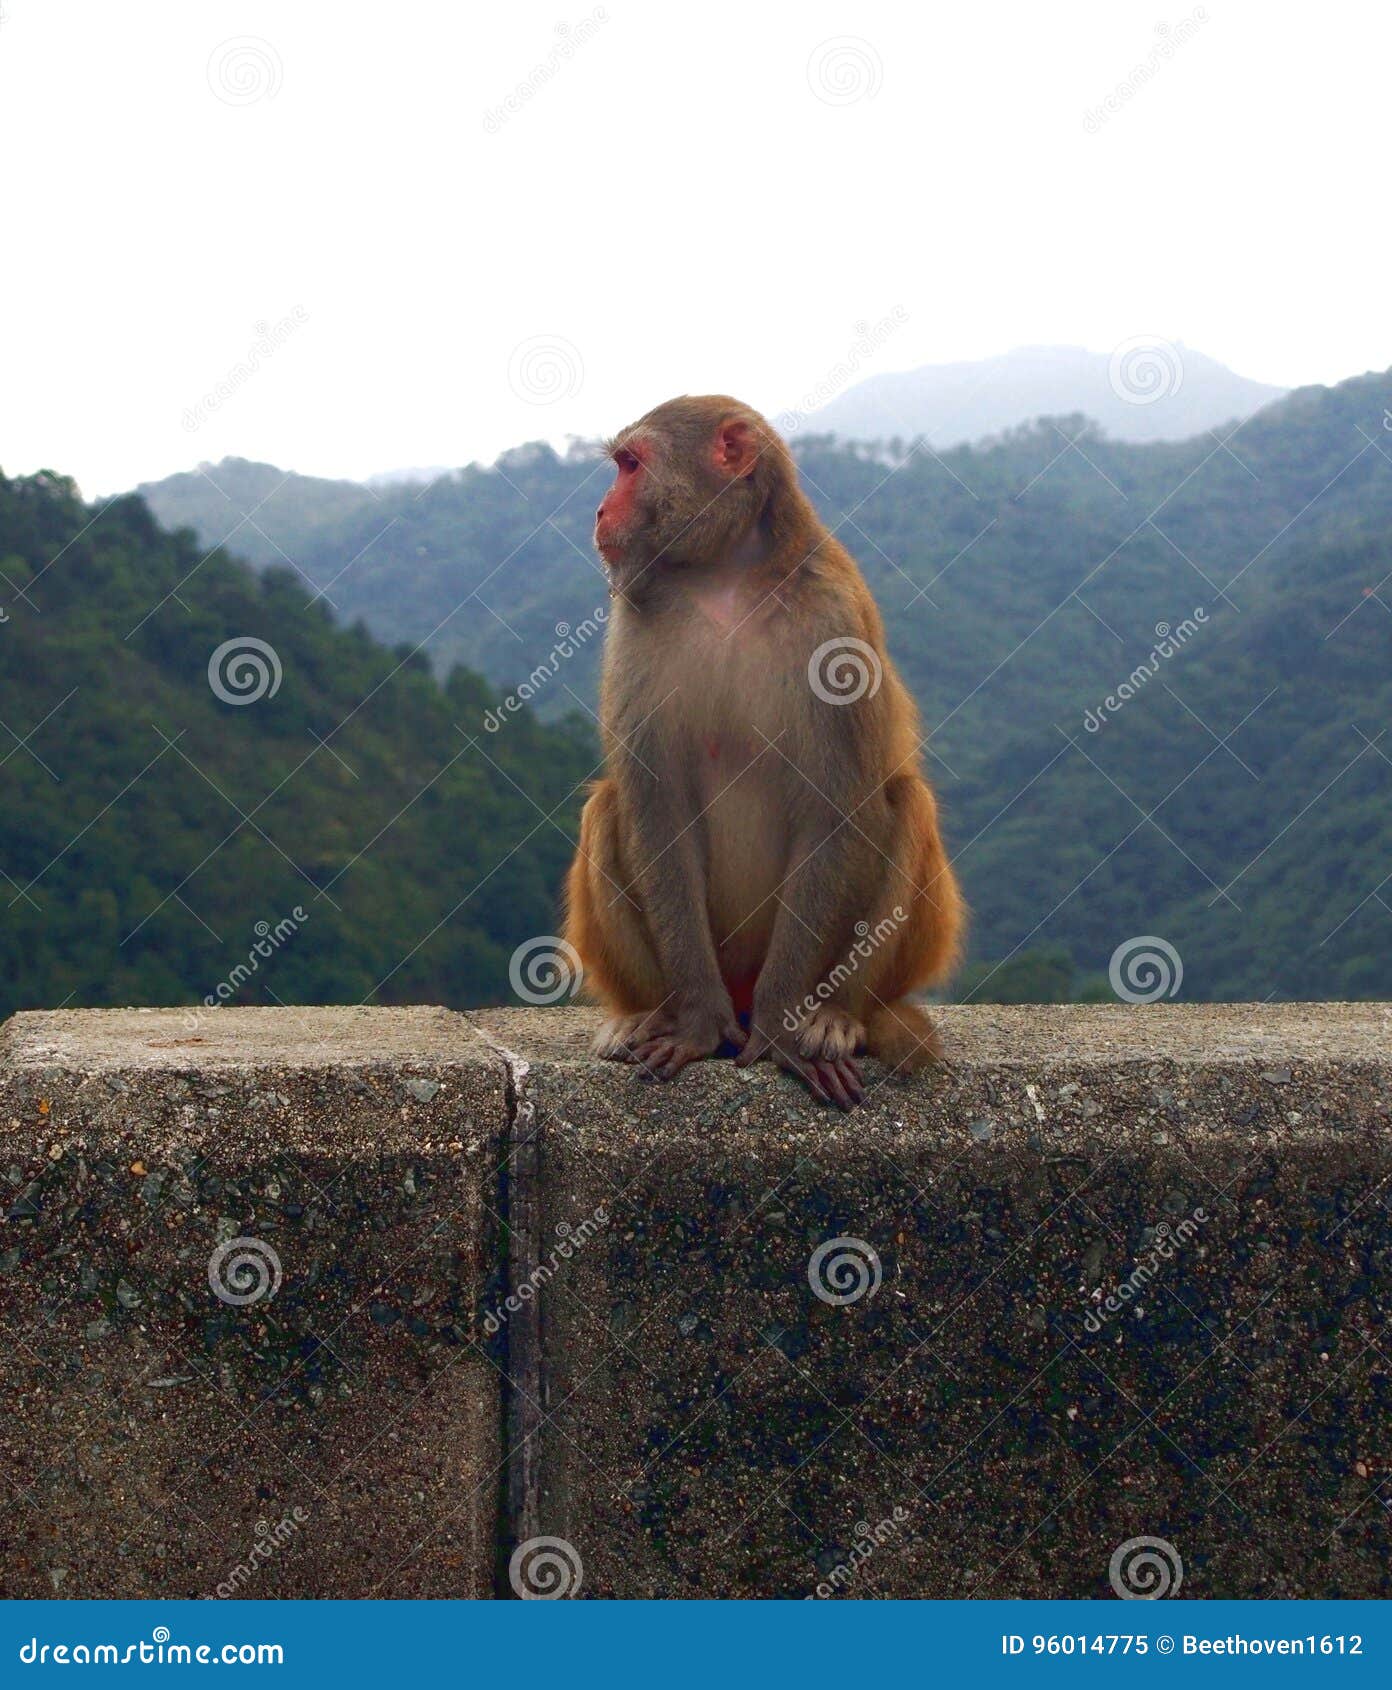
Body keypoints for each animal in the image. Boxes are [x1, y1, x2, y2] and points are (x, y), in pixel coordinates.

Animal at [563, 395, 964, 1110]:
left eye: (630, 465)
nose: (601, 511)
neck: (728, 577)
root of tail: (741, 993)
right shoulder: (634, 623)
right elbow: (656, 811)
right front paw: (697, 1023)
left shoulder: (834, 617)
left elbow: (836, 812)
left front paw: (783, 1029)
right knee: (609, 807)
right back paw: (646, 1013)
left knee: (905, 799)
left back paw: (835, 1018)